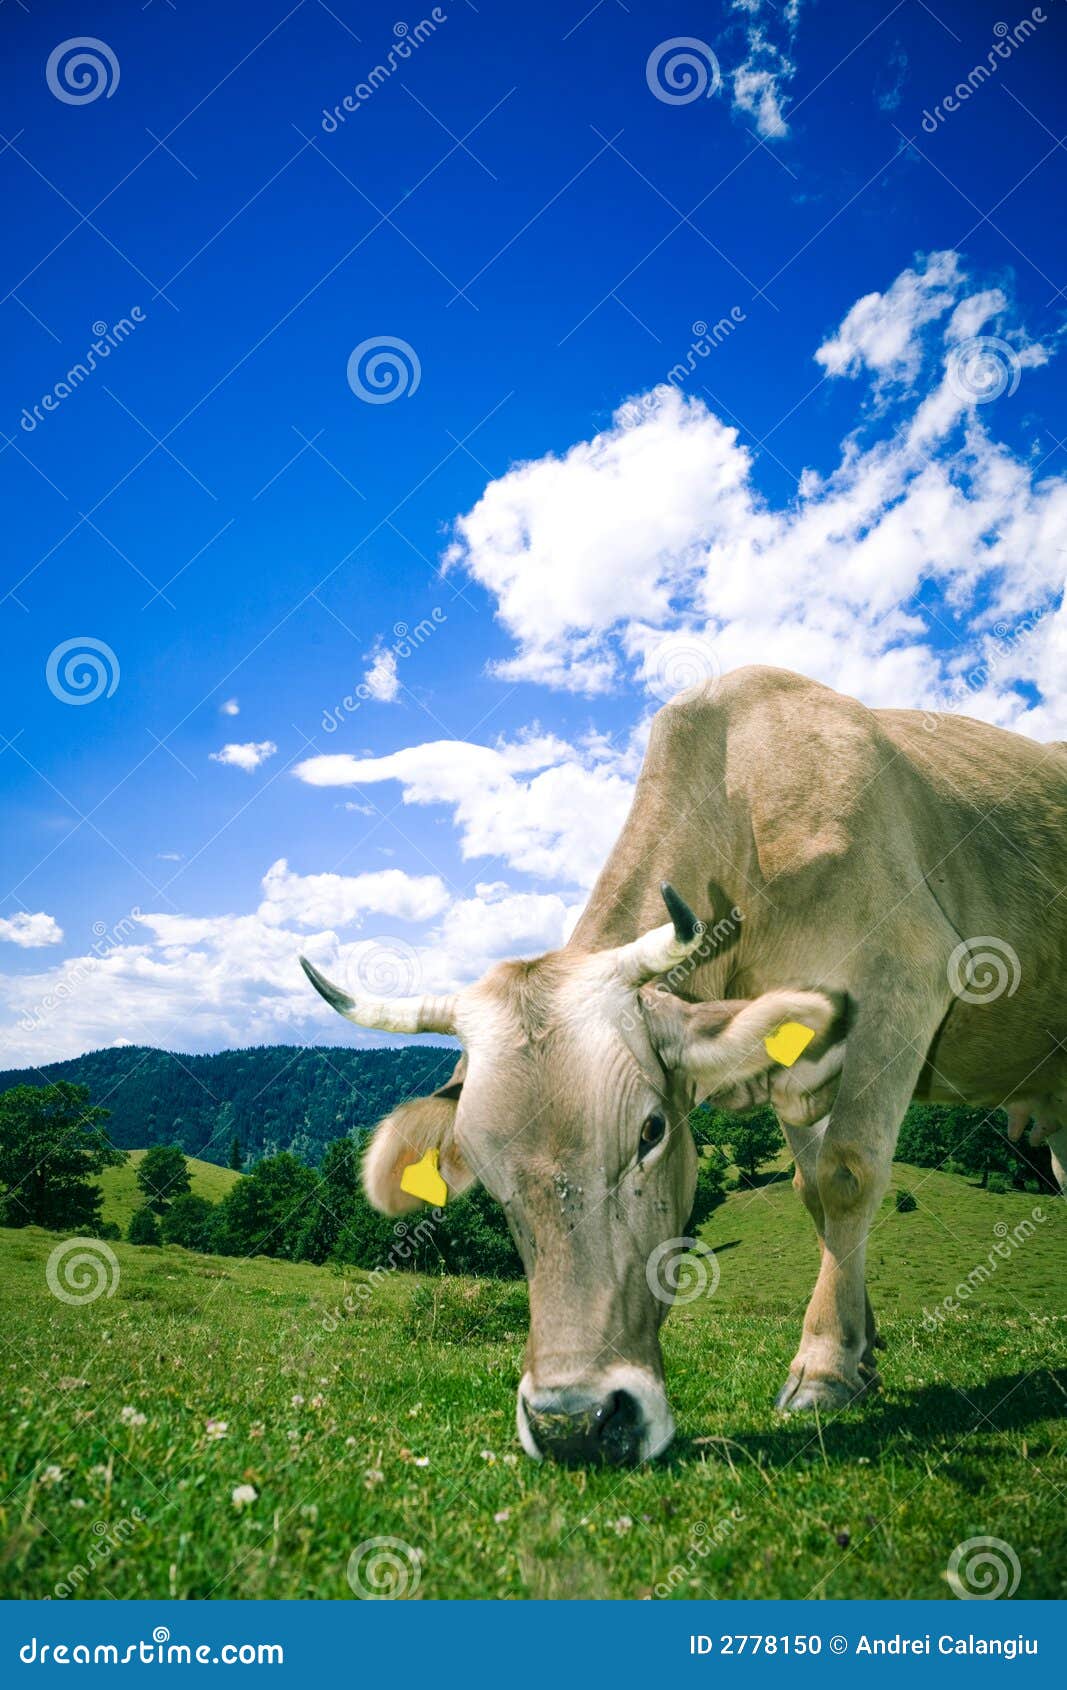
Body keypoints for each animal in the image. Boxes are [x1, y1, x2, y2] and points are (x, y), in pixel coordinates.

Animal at [300, 665, 1067, 1464]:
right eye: (479, 1162)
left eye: (650, 1132)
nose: (573, 1425)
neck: (747, 812)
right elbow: (809, 1191)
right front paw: (862, 1351)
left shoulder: (902, 988)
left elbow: (846, 1175)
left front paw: (824, 1369)